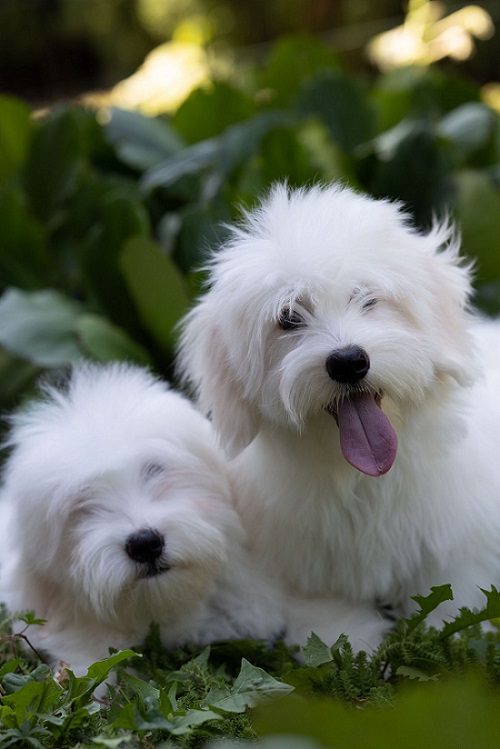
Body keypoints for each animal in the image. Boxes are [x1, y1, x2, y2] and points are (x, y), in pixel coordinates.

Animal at [179, 183, 500, 632]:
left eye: (366, 297)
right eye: (288, 317)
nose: (348, 361)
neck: (362, 479)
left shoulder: (458, 554)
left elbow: (453, 604)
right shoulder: (306, 573)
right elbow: (332, 622)